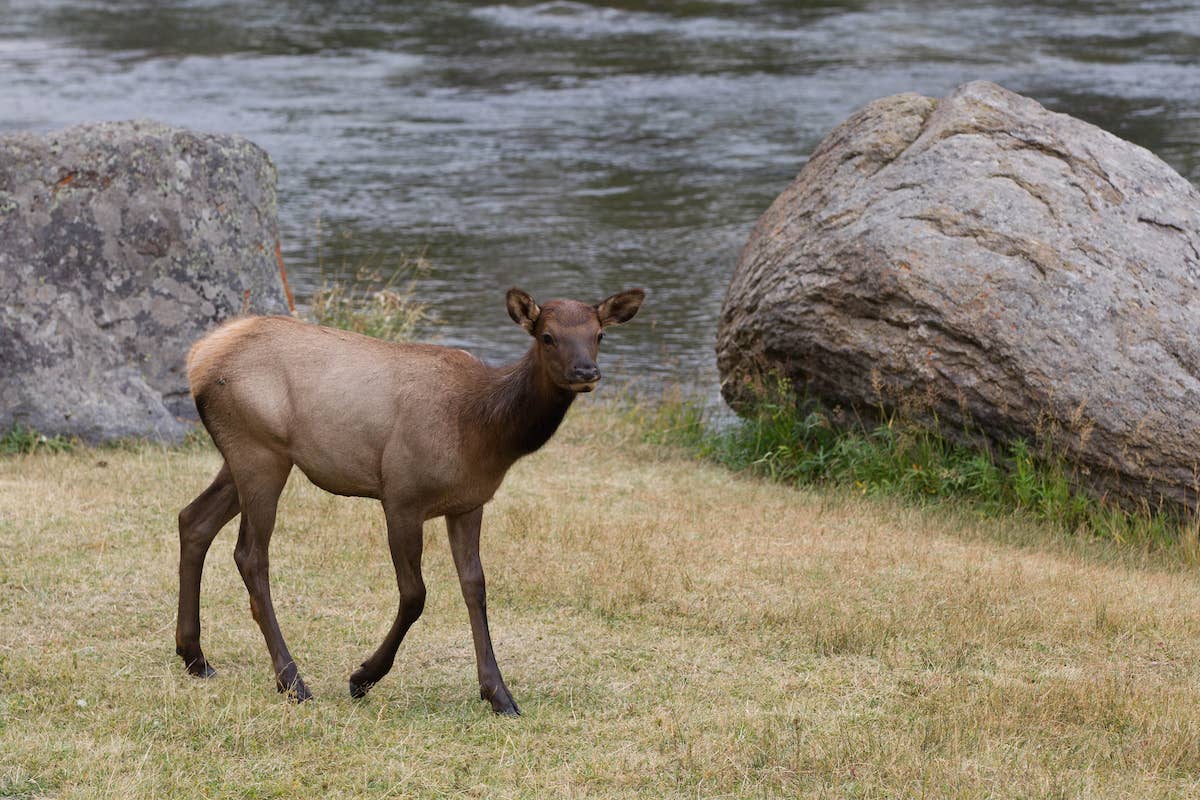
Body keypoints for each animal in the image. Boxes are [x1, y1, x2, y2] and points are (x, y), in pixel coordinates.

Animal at [175, 287, 644, 715]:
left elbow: (475, 587)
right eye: (547, 335)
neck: (482, 432)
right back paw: (292, 681)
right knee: (250, 554)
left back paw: (194, 656)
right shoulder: (401, 494)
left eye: (599, 334)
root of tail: (197, 358)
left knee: (192, 519)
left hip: (247, 457)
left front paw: (498, 694)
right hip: (259, 450)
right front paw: (362, 676)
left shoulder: (469, 503)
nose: (586, 371)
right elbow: (415, 594)